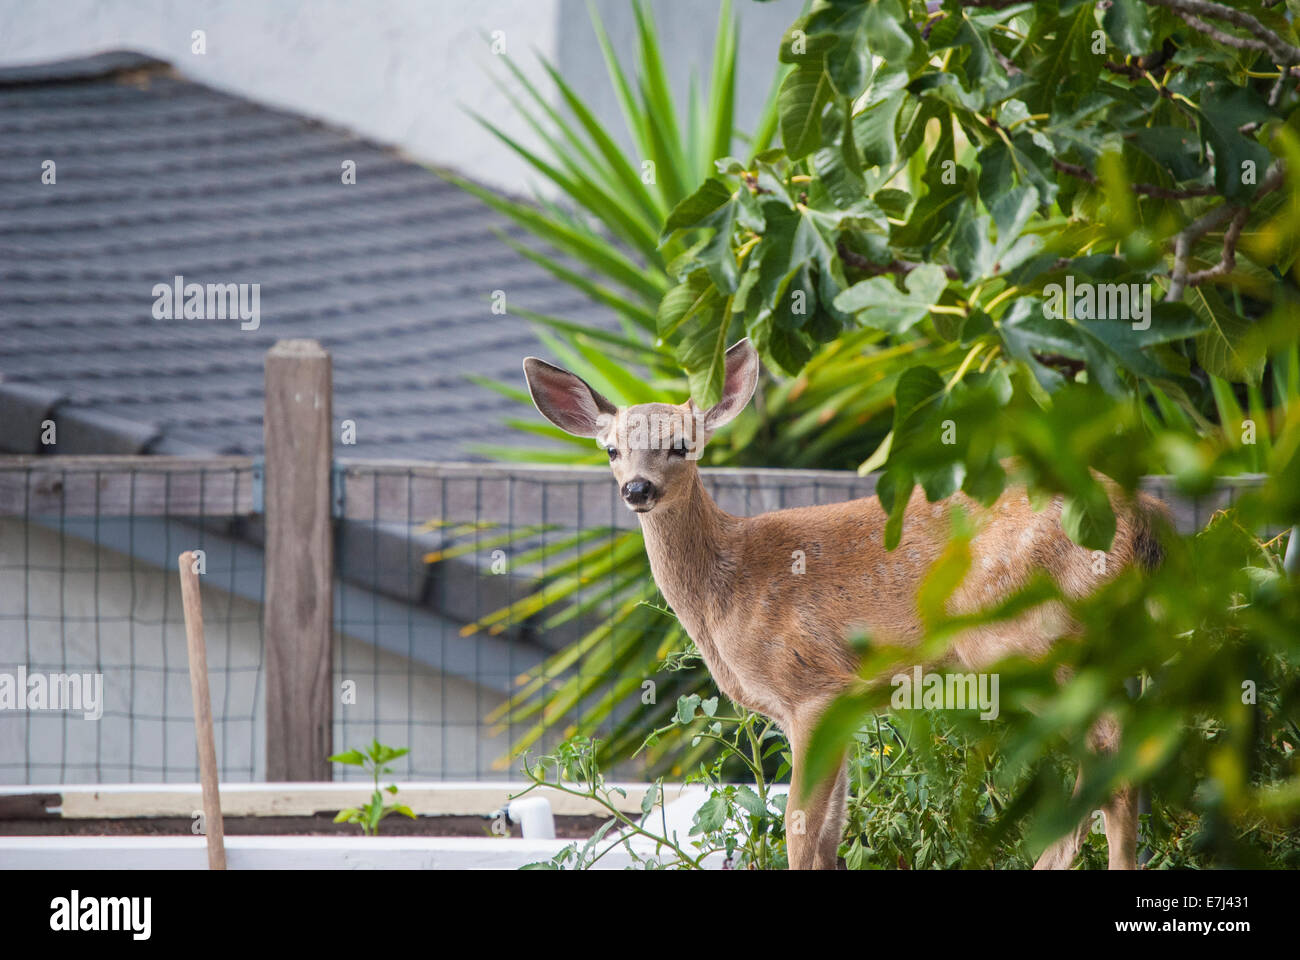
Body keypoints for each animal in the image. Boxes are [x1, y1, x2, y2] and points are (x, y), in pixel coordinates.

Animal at [523, 338, 1168, 870]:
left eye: (682, 445)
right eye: (610, 450)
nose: (638, 489)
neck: (726, 591)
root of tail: (1145, 518)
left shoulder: (812, 686)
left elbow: (799, 828)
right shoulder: (840, 701)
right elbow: (831, 829)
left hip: (1029, 639)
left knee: (1110, 757)